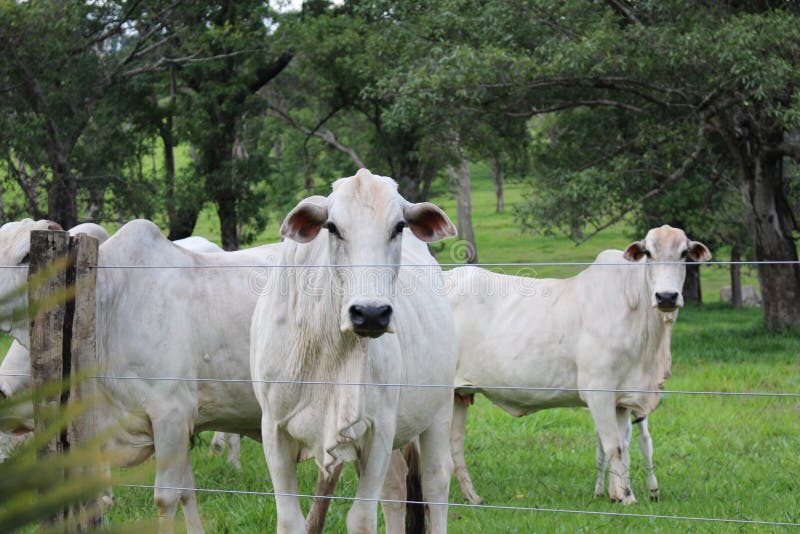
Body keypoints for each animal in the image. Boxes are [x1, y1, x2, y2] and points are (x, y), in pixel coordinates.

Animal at [250, 169, 457, 533]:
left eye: (399, 226)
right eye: (332, 227)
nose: (371, 313)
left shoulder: (379, 429)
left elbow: (360, 517)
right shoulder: (274, 430)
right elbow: (291, 519)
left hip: (438, 409)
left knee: (436, 483)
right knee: (395, 489)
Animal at [445, 225, 710, 505]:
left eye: (684, 253)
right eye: (648, 252)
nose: (667, 296)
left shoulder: (622, 398)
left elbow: (624, 448)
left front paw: (617, 494)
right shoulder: (598, 391)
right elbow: (614, 446)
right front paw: (627, 498)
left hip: (458, 394)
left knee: (455, 444)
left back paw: (472, 496)